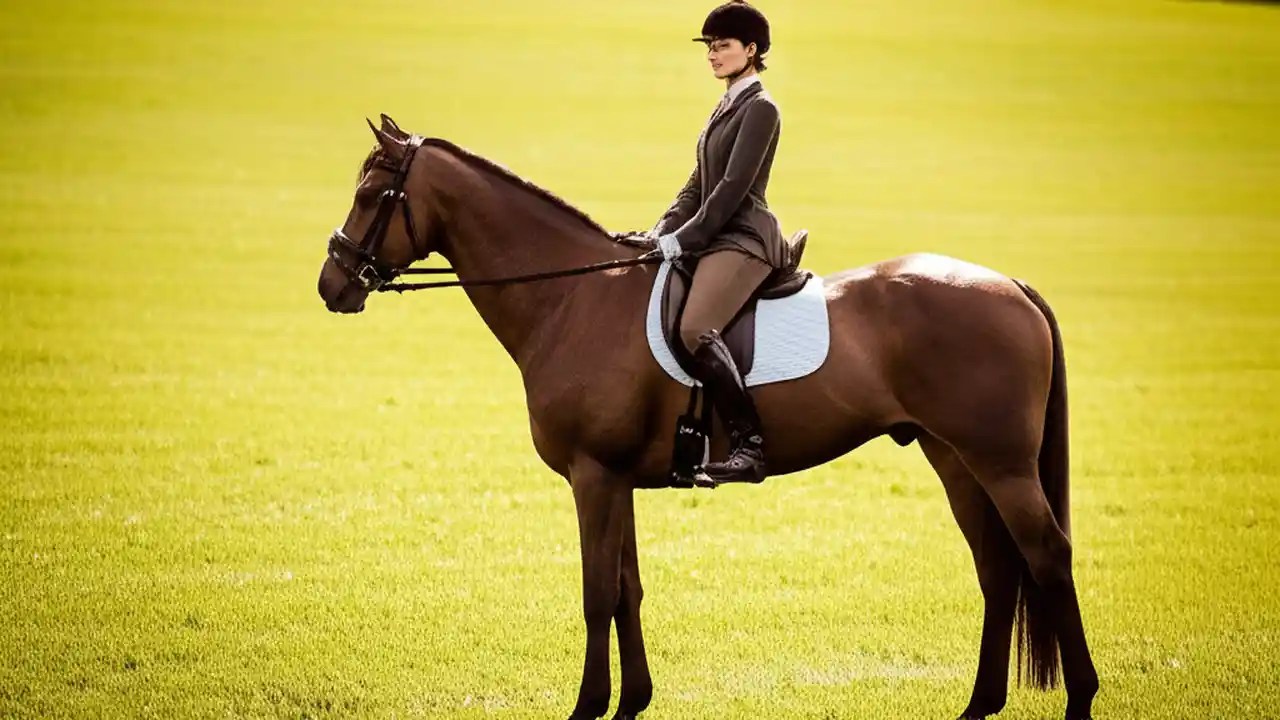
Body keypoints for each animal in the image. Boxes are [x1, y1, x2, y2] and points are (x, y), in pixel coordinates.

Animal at [316, 117, 1099, 720]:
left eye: (371, 195)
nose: (332, 285)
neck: (572, 300)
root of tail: (1011, 286)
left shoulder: (592, 476)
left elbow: (596, 593)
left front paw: (588, 706)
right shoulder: (616, 479)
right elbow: (627, 590)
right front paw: (632, 702)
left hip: (1000, 463)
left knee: (1046, 555)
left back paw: (1080, 697)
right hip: (953, 457)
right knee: (998, 566)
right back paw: (978, 705)